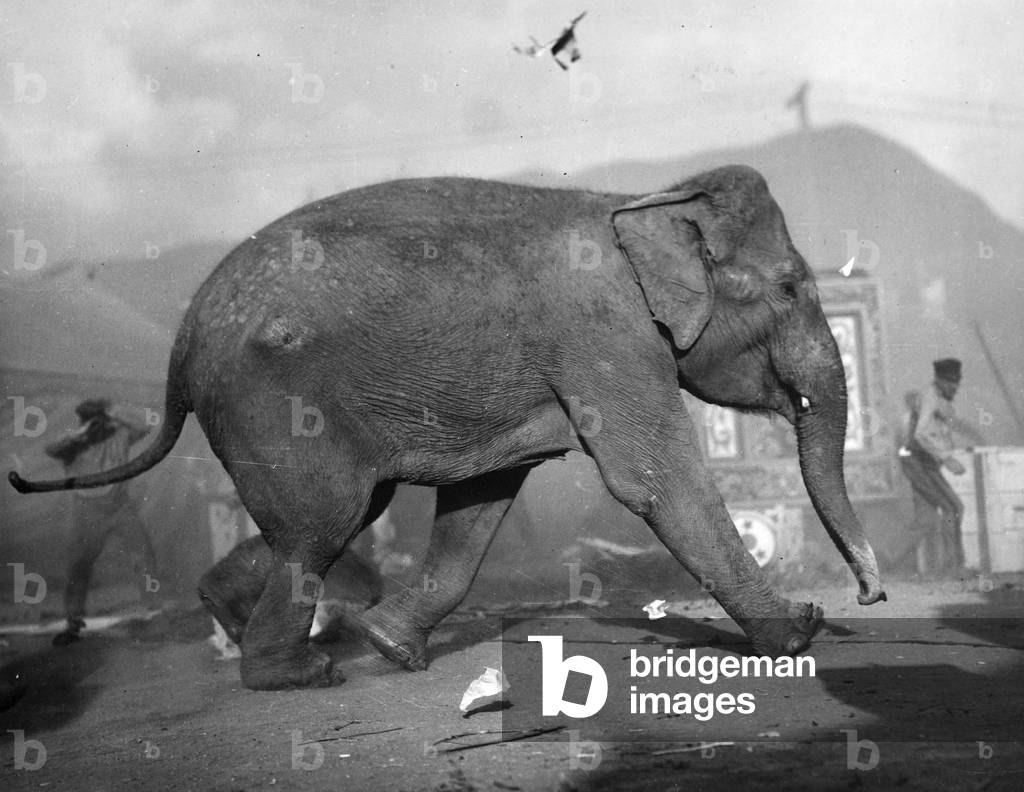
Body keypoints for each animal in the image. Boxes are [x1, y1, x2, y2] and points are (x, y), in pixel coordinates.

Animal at [9, 164, 887, 690]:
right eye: (790, 286)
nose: (871, 594)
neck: (644, 198)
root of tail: (180, 342)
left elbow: (485, 494)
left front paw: (392, 646)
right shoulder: (604, 334)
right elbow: (654, 479)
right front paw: (798, 637)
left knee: (324, 521)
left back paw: (241, 622)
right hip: (267, 400)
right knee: (323, 523)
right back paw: (295, 676)